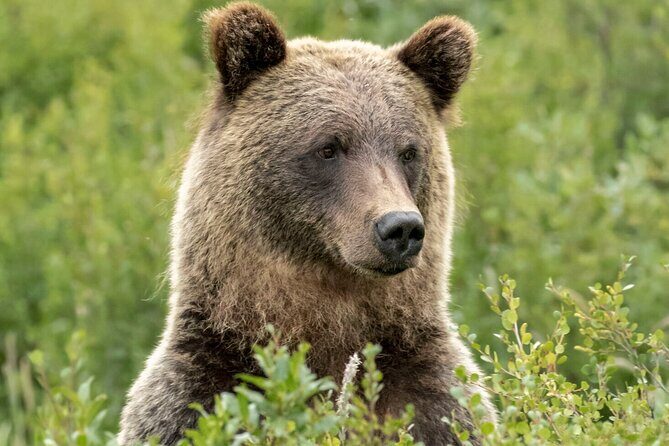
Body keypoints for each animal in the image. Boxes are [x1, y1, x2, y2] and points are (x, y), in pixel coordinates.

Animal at [119, 2, 497, 445]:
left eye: (408, 151)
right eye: (328, 147)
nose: (400, 227)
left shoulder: (430, 388)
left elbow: (445, 414)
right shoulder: (203, 387)